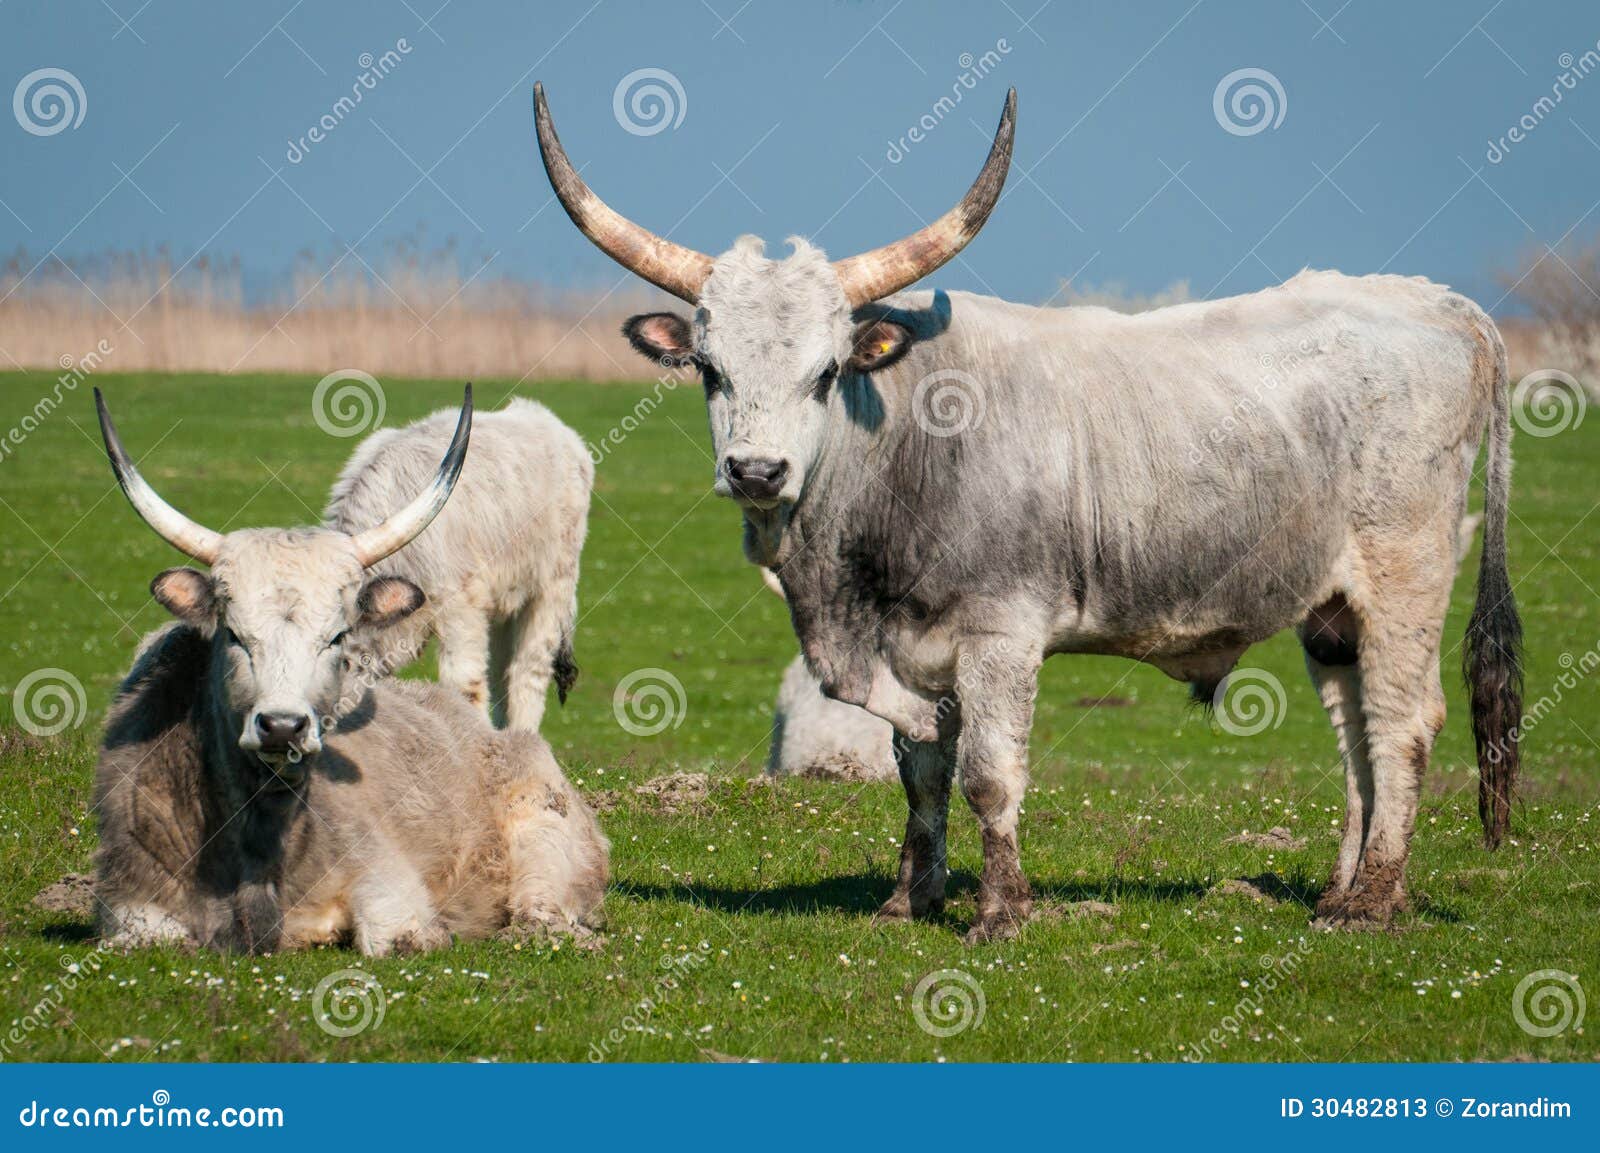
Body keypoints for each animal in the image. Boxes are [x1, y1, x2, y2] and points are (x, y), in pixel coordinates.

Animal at [324, 397, 592, 732]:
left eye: (338, 650)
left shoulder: (461, 610)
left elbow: (465, 687)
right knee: (502, 675)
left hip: (551, 589)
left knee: (528, 672)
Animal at [532, 83, 1522, 944]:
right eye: (708, 369)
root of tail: (1443, 303)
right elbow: (921, 768)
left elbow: (987, 773)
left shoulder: (1000, 635)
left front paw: (1002, 910)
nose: (757, 470)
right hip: (1331, 610)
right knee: (1355, 734)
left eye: (827, 371)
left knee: (1403, 722)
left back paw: (1377, 900)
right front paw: (911, 898)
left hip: (1403, 579)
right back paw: (1340, 891)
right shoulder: (912, 649)